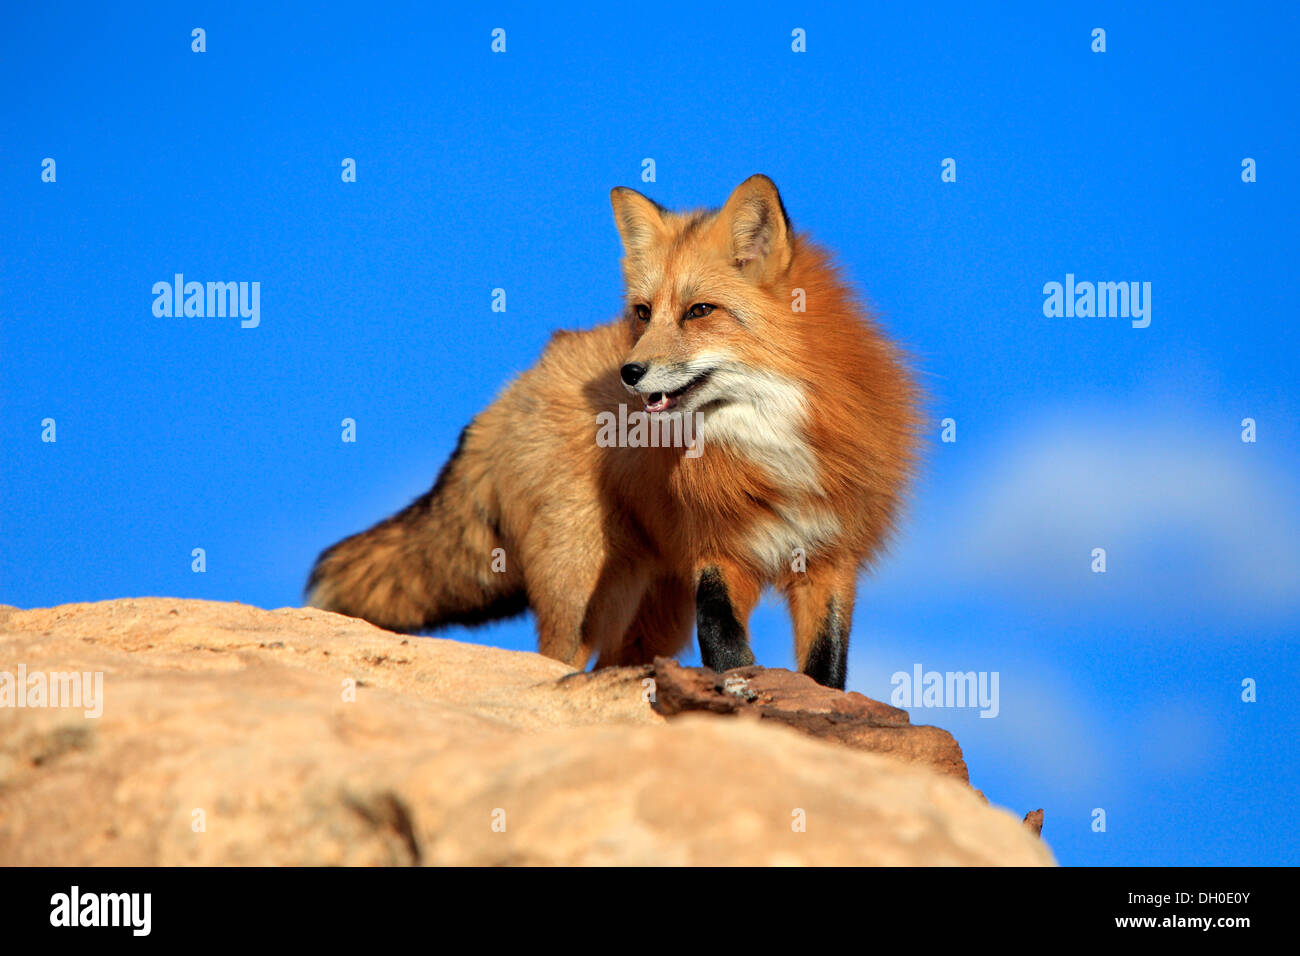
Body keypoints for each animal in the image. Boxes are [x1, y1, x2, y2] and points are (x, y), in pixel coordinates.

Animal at [307, 175, 919, 690]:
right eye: (644, 313)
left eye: (700, 311)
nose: (629, 372)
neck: (765, 444)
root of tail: (516, 384)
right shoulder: (714, 548)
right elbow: (724, 641)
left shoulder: (830, 556)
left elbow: (825, 667)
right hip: (581, 592)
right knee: (554, 662)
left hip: (653, 610)